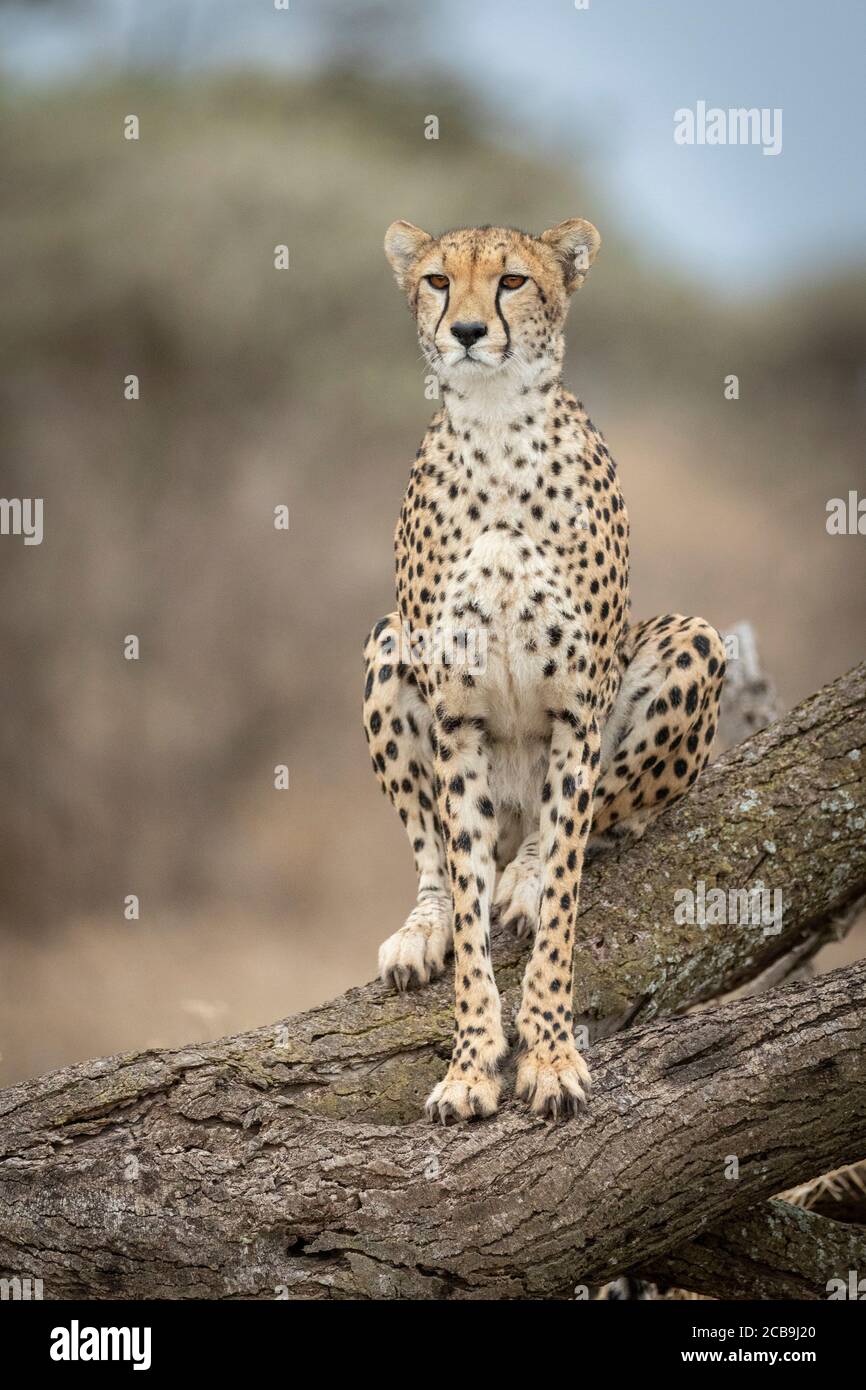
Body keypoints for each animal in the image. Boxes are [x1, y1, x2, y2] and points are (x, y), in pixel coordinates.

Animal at [362, 218, 725, 1123]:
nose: (465, 332)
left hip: (690, 642)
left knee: (597, 817)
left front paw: (552, 1055)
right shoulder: (454, 718)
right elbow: (462, 891)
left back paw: (523, 873)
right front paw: (470, 1064)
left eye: (513, 281)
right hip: (388, 643)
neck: (495, 428)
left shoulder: (577, 709)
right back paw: (423, 927)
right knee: (437, 855)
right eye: (436, 280)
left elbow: (564, 895)